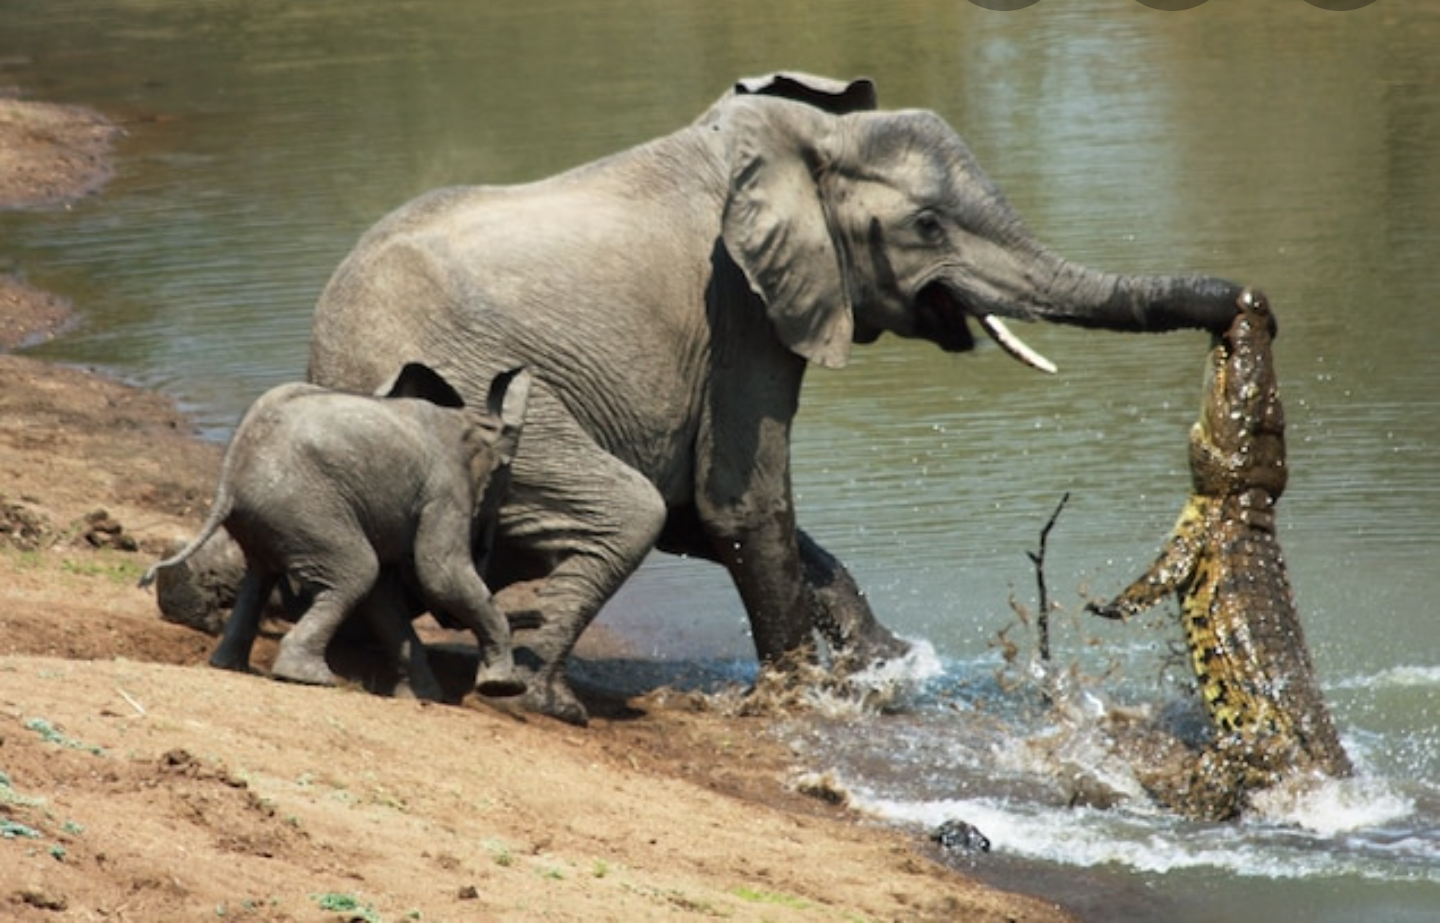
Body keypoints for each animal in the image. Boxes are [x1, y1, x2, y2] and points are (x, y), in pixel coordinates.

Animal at [140, 362, 532, 701]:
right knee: (356, 571)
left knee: (262, 576)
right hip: (306, 506)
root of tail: (229, 474)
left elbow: (385, 597)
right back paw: (308, 678)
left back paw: (230, 666)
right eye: (503, 487)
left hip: (273, 515)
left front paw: (425, 698)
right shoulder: (445, 490)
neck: (473, 420)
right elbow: (439, 574)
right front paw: (503, 687)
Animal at [306, 72, 1246, 726]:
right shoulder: (741, 307)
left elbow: (711, 513)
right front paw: (806, 696)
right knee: (627, 509)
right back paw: (543, 698)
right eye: (927, 227)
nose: (1246, 307)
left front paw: (888, 667)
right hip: (472, 398)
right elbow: (738, 503)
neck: (801, 141)